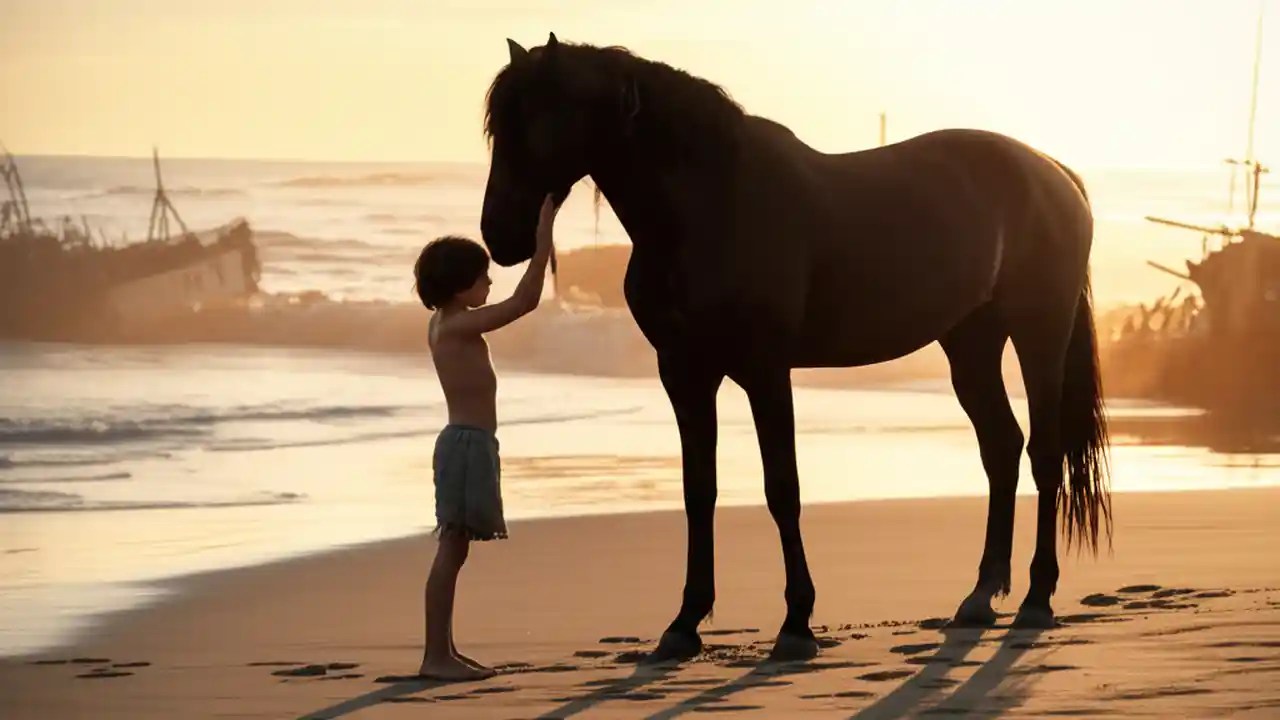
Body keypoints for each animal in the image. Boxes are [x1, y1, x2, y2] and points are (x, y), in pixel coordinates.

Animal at [480, 34, 1111, 662]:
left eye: (534, 120)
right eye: (496, 126)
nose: (499, 236)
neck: (709, 205)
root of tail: (1054, 174)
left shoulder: (765, 369)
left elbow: (782, 488)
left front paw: (796, 623)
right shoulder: (684, 373)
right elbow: (697, 491)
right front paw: (684, 623)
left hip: (1038, 334)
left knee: (1044, 454)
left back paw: (1036, 598)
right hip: (971, 344)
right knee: (1001, 448)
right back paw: (980, 596)